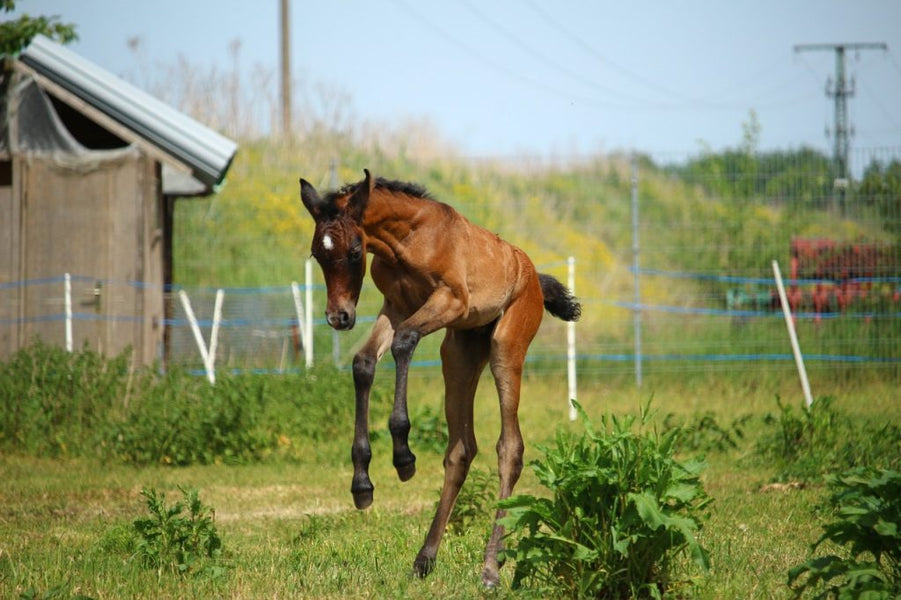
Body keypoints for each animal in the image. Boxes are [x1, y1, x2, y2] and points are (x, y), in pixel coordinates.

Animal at [299, 169, 581, 587]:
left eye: (354, 252)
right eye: (318, 253)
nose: (339, 317)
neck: (408, 239)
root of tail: (530, 273)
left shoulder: (450, 301)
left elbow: (404, 342)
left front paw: (403, 456)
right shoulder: (397, 306)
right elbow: (363, 363)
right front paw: (362, 484)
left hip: (505, 348)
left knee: (510, 448)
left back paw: (490, 569)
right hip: (459, 354)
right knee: (461, 449)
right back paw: (425, 558)